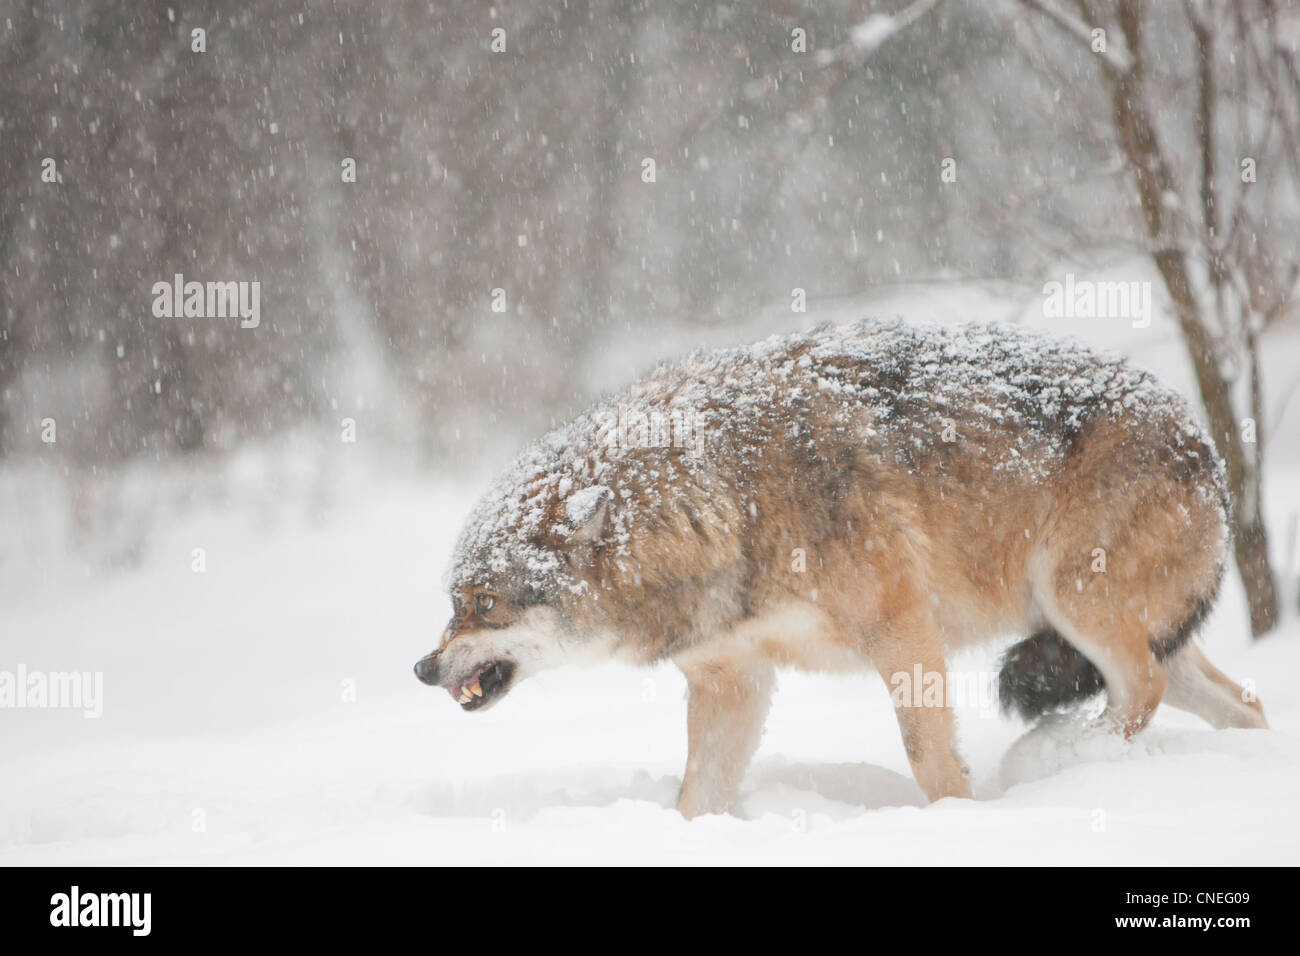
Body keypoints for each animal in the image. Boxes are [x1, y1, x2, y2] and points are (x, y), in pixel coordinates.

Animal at [414, 320, 1267, 818]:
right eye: (452, 602)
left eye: (482, 604)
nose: (422, 667)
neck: (720, 496)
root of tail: (1208, 442)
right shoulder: (733, 679)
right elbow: (697, 794)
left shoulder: (904, 632)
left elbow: (929, 758)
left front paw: (958, 824)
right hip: (1112, 632)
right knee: (1242, 704)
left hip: (1075, 604)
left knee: (1141, 690)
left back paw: (1061, 760)